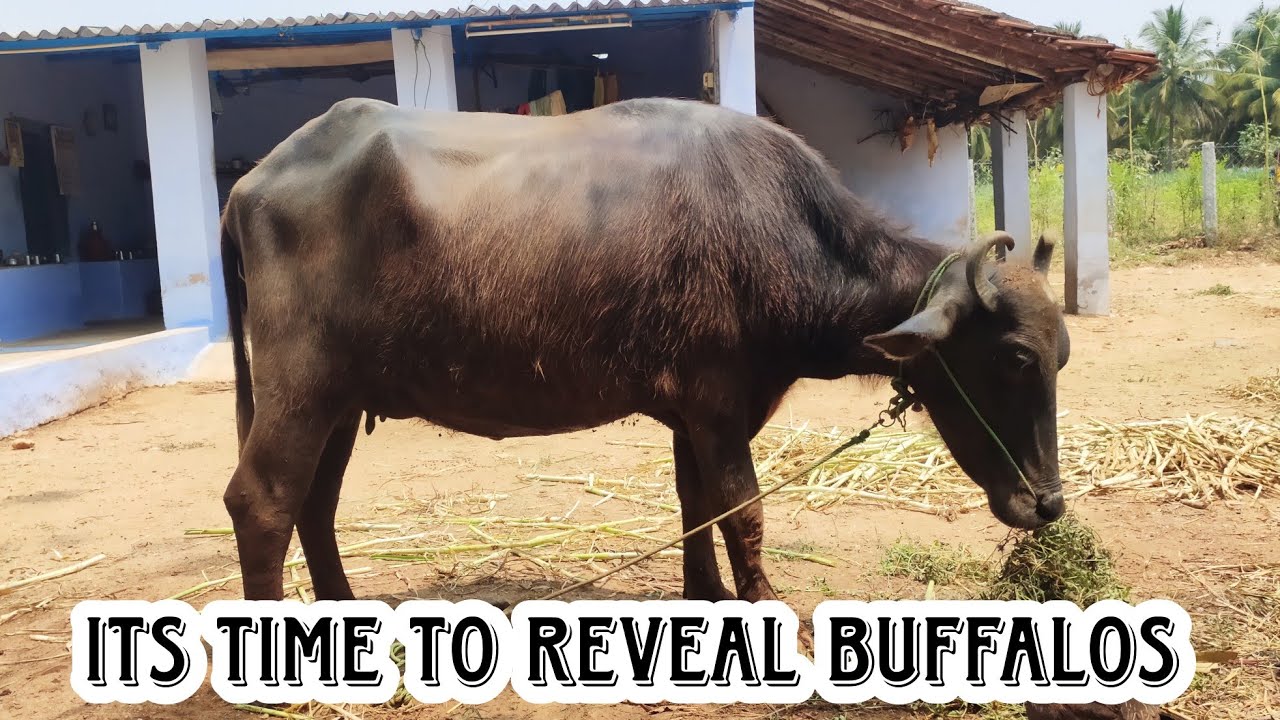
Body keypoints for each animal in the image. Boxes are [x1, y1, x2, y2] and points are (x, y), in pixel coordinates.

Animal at [218, 96, 1069, 603]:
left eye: (1059, 356)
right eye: (1015, 358)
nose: (1047, 504)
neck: (775, 237)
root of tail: (251, 184)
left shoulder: (695, 416)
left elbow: (697, 506)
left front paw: (709, 595)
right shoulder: (719, 407)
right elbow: (743, 512)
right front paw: (761, 602)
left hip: (338, 399)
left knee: (313, 503)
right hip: (299, 388)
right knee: (260, 501)